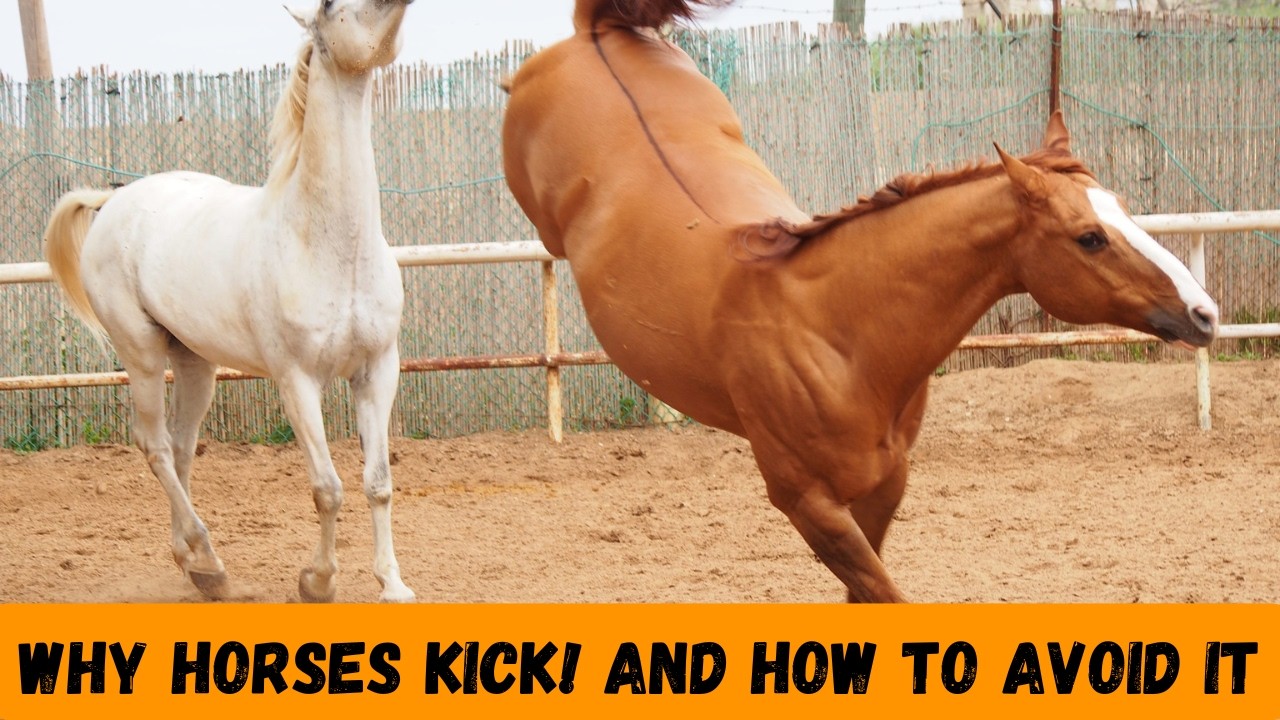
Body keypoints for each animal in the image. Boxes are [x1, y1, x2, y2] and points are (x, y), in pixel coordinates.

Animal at [42, 0, 416, 603]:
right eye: (331, 7)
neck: (326, 243)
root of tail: (113, 202)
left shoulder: (378, 370)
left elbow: (377, 482)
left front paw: (393, 585)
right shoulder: (297, 381)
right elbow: (328, 487)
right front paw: (317, 581)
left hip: (196, 366)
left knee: (181, 446)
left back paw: (194, 564)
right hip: (142, 355)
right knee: (155, 446)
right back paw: (210, 560)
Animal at [502, 0, 1220, 602]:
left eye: (1121, 206)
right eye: (1089, 237)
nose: (1204, 313)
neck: (834, 332)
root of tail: (595, 33)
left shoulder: (883, 487)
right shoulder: (807, 503)